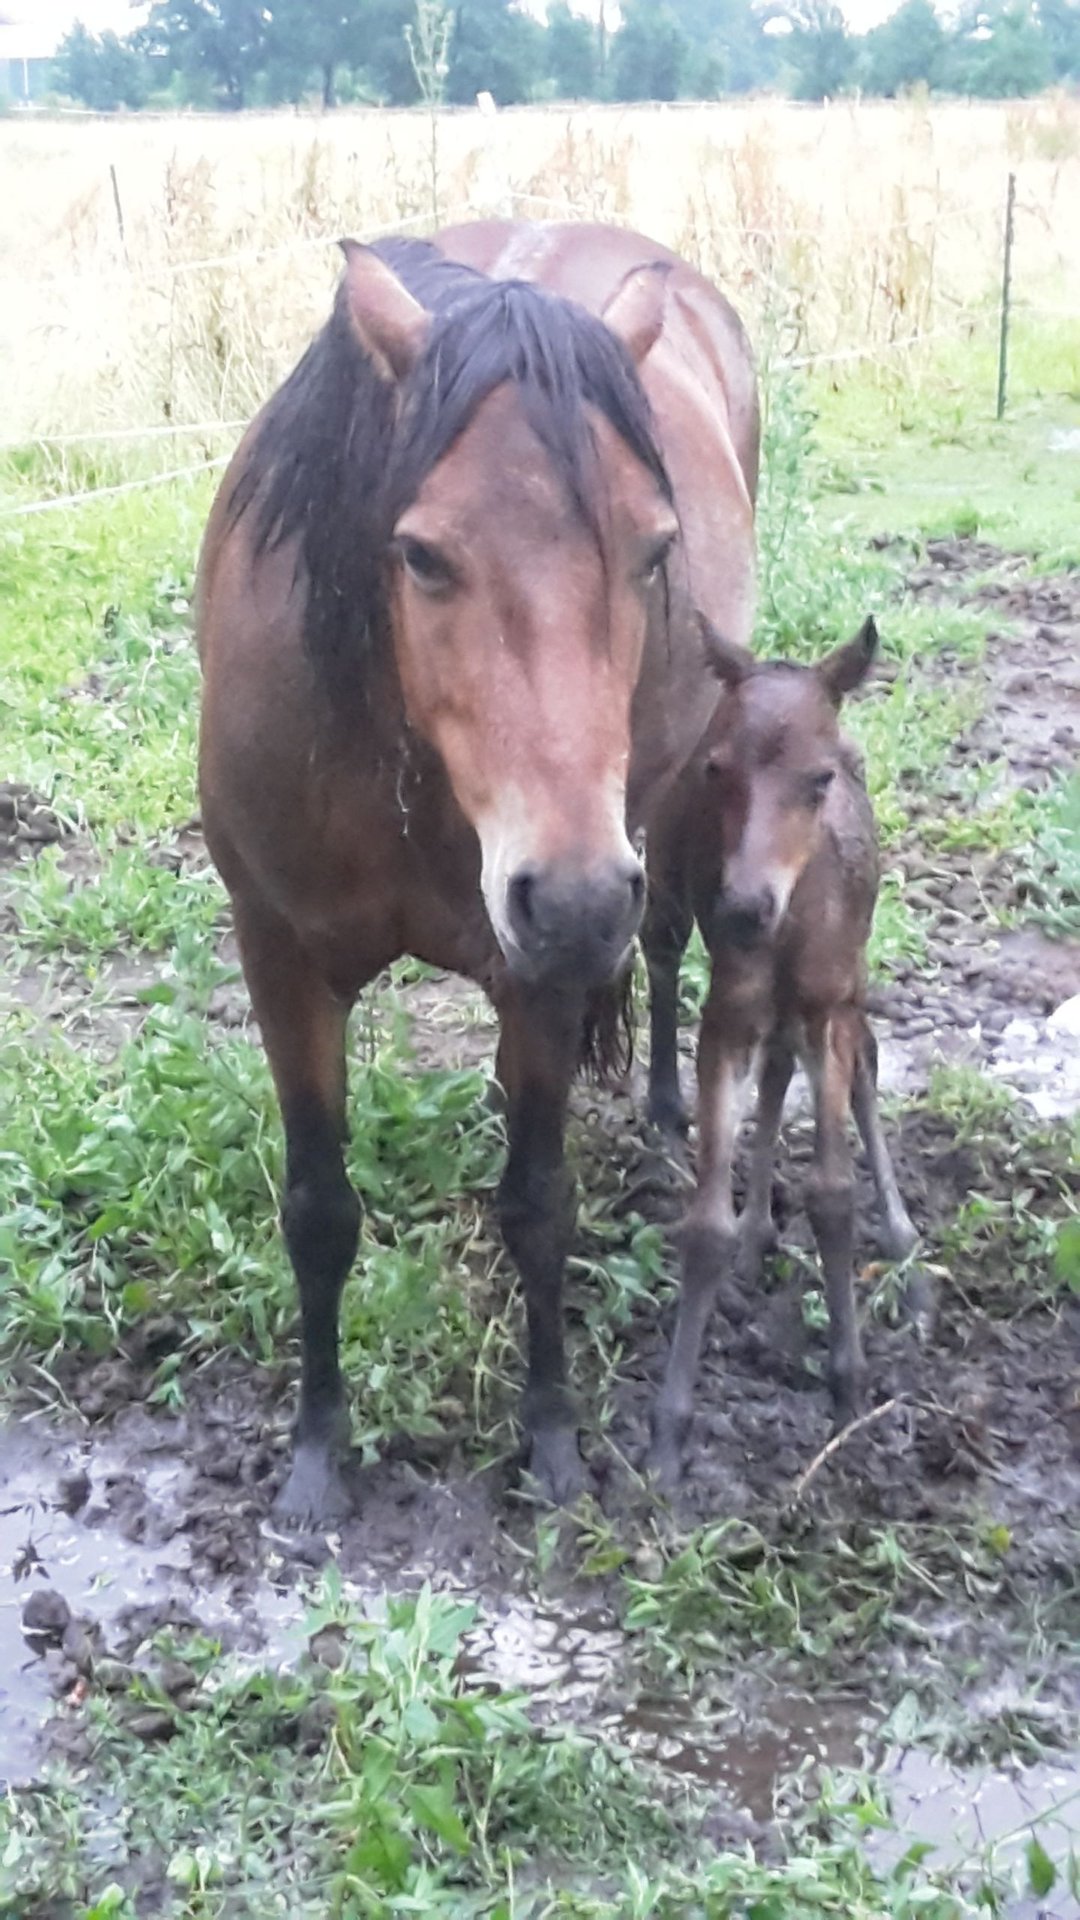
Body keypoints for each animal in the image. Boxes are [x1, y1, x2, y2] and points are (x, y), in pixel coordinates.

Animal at [196, 221, 758, 1524]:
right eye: (419, 554)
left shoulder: (539, 973)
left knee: (666, 946)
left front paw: (550, 1443)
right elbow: (318, 1212)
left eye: (654, 548)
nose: (579, 899)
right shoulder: (278, 959)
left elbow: (538, 1207)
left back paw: (666, 1103)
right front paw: (316, 1458)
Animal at [643, 616, 919, 1486]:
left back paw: (899, 1248)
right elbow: (704, 1226)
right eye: (717, 768)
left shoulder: (828, 1002)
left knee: (851, 1062)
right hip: (669, 891)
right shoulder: (730, 1012)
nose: (742, 908)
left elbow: (833, 1192)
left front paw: (849, 1382)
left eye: (823, 776)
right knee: (665, 958)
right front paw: (670, 1426)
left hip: (845, 985)